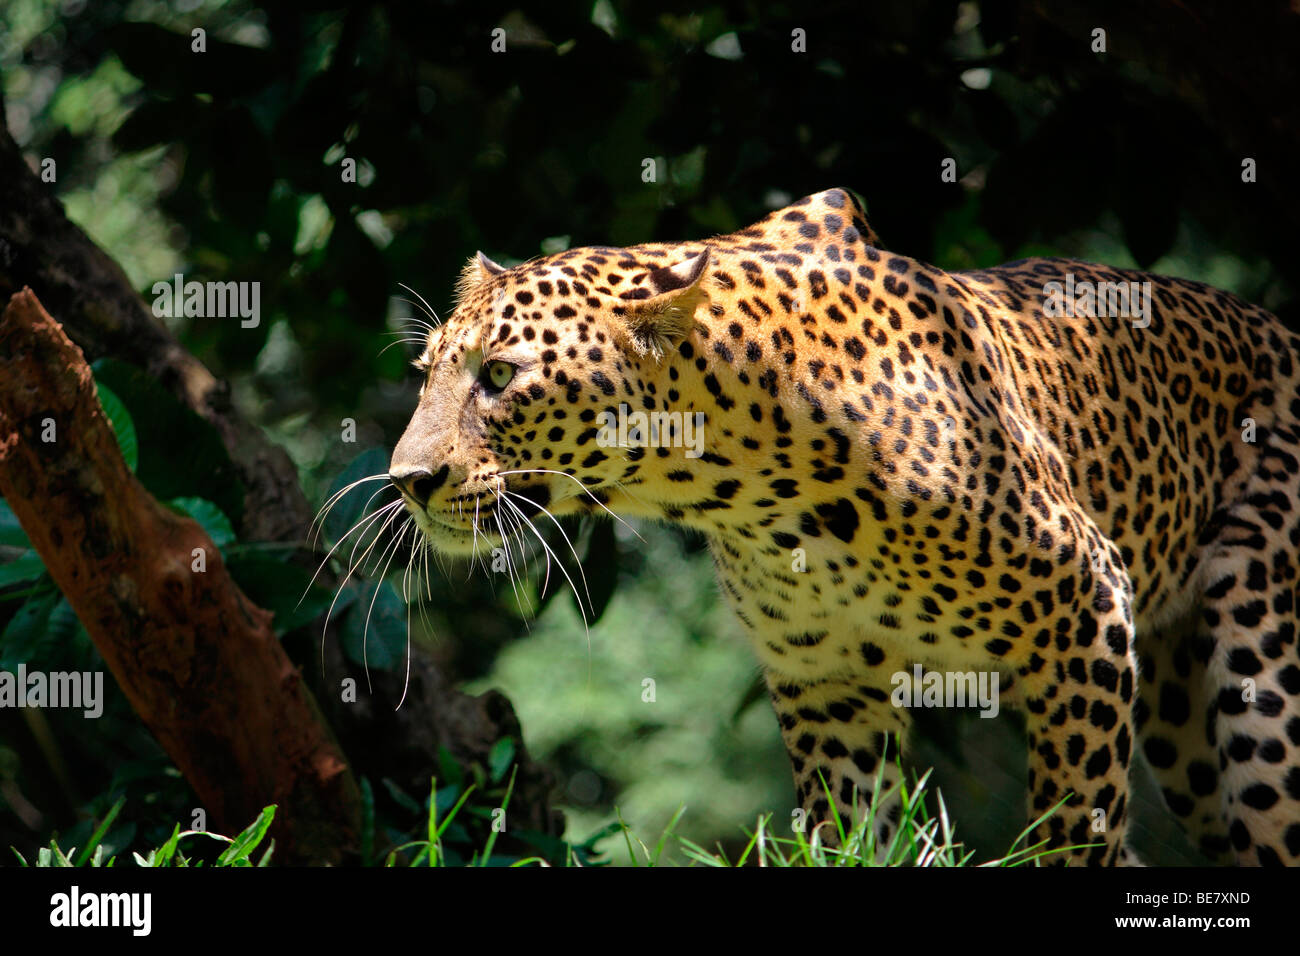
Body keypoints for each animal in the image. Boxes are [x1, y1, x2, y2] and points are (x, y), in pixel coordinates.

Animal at [388, 188, 1300, 865]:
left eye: (500, 376)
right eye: (426, 372)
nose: (408, 481)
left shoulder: (1085, 612)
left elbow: (1077, 823)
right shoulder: (824, 679)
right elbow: (850, 828)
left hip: (1264, 680)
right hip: (1187, 733)